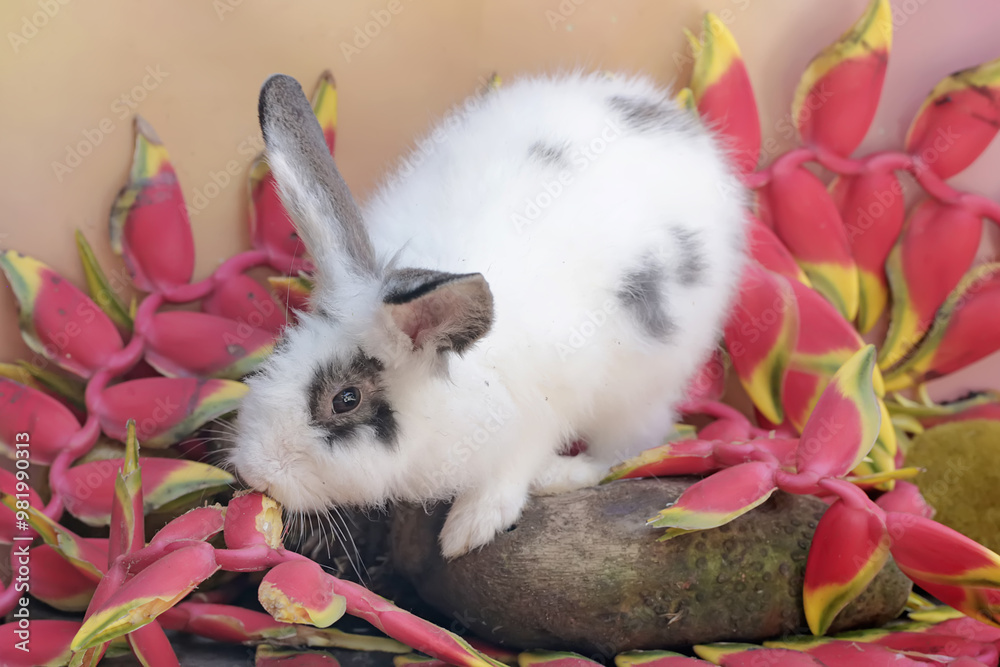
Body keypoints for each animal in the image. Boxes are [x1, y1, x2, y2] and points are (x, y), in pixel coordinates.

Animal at [230, 70, 747, 559]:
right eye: (279, 350)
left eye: (346, 400)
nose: (255, 473)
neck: (452, 388)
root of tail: (684, 127)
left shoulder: (537, 417)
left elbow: (511, 472)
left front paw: (468, 530)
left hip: (644, 386)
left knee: (627, 446)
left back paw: (563, 474)